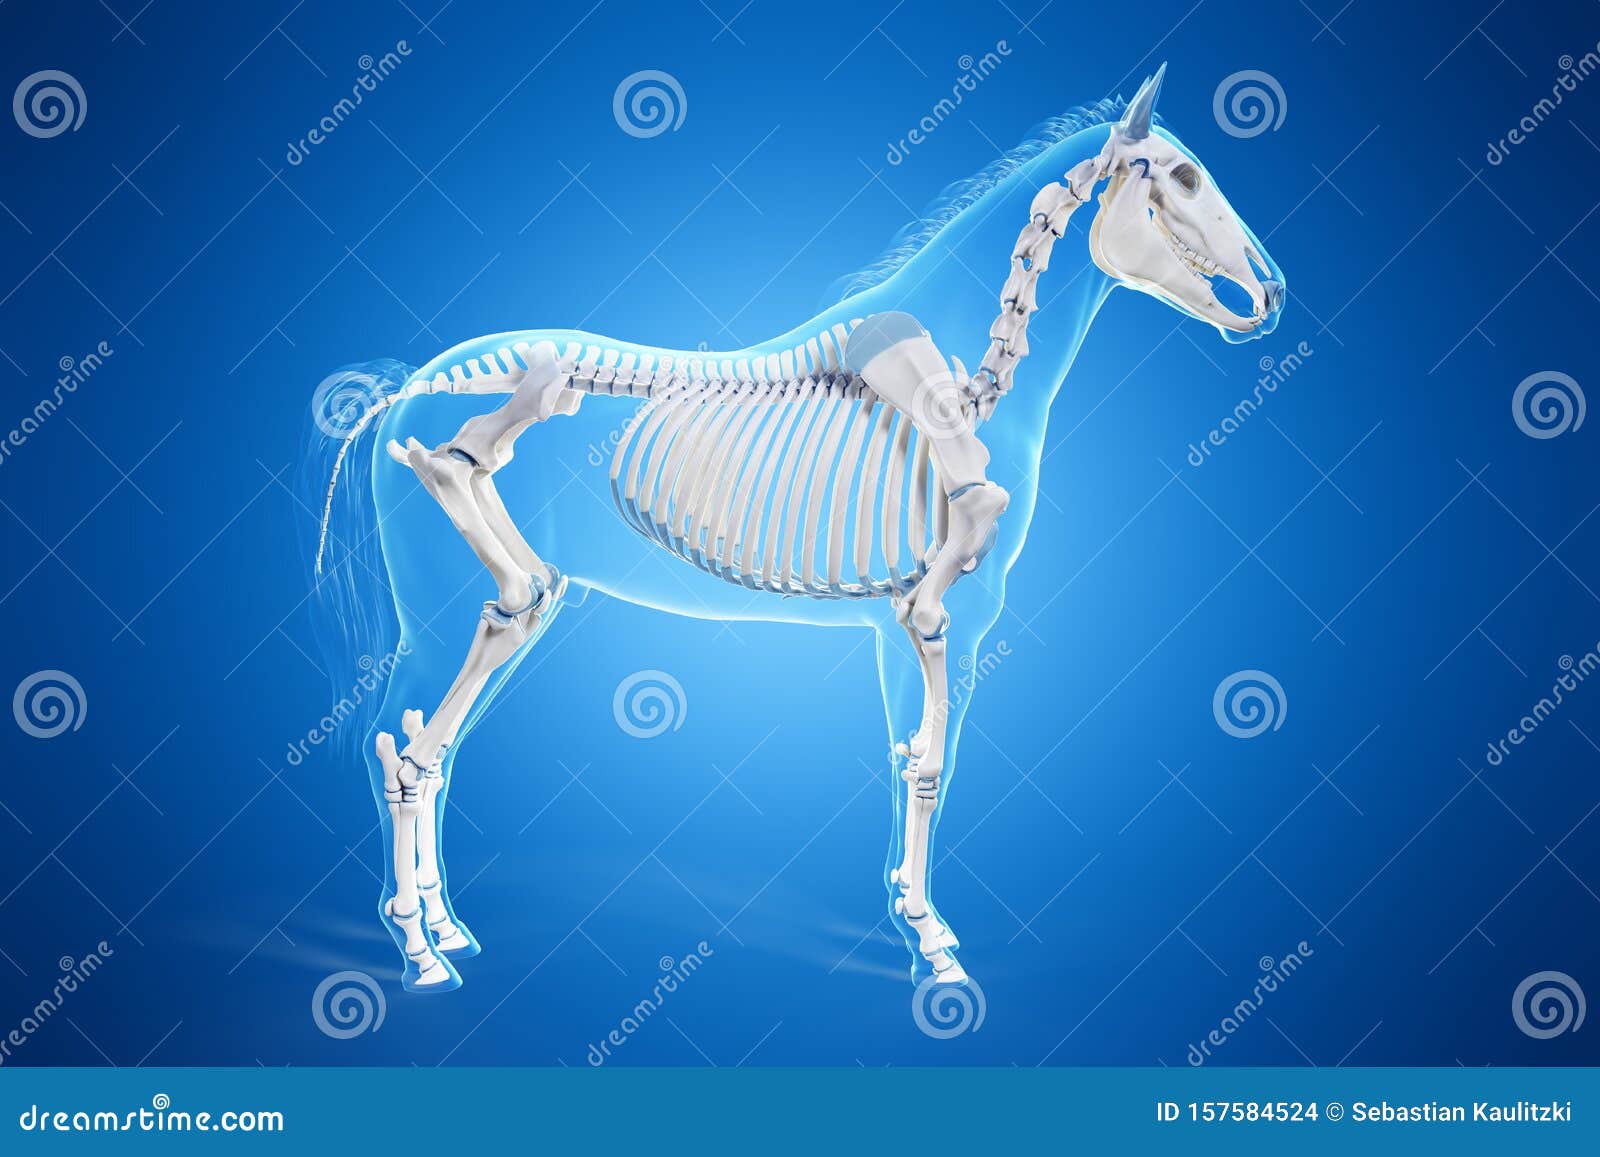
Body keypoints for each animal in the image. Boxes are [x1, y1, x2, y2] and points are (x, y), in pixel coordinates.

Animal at [306, 65, 1286, 999]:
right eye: (1185, 175)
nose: (1271, 290)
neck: (971, 373)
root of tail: (402, 394)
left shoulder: (900, 621)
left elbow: (911, 759)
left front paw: (912, 920)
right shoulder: (944, 614)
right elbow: (933, 759)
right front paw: (935, 949)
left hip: (510, 609)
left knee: (439, 732)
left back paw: (446, 930)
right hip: (437, 606)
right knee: (403, 741)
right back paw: (419, 954)